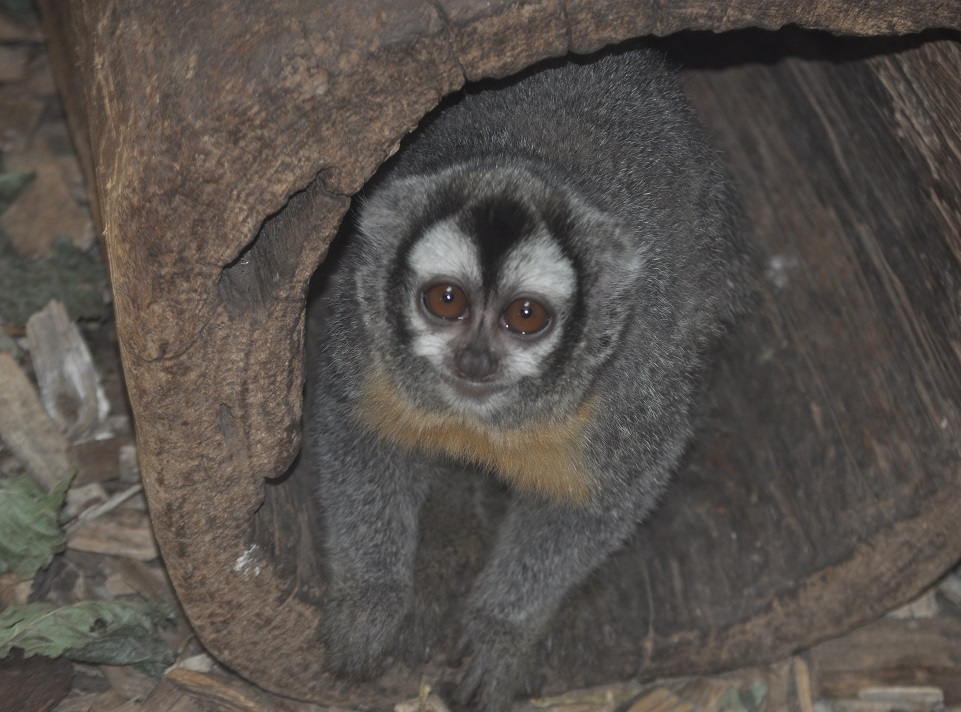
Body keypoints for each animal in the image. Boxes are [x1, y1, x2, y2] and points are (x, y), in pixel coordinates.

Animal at [306, 48, 753, 711]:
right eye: (446, 301)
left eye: (525, 316)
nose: (475, 361)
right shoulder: (363, 346)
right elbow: (356, 434)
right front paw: (370, 604)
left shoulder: (628, 396)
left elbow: (600, 506)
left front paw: (501, 633)